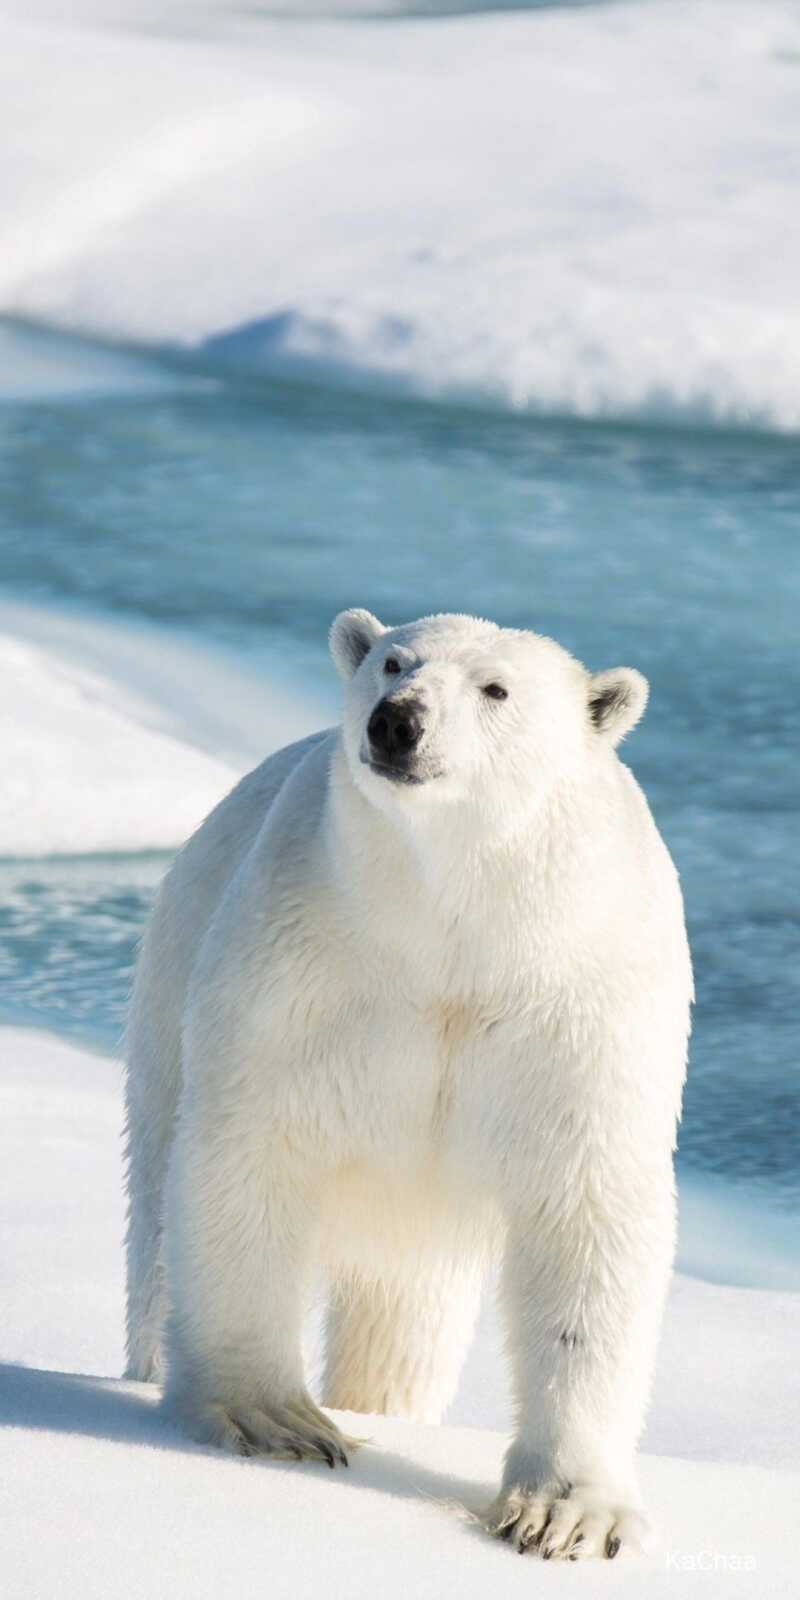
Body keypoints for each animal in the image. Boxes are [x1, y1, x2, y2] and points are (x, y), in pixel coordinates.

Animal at [124, 608, 692, 1561]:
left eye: (496, 688)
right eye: (394, 662)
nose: (398, 722)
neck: (455, 925)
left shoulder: (583, 1004)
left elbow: (587, 1214)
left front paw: (567, 1512)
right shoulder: (305, 962)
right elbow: (251, 1152)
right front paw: (275, 1420)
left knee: (405, 1317)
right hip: (170, 987)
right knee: (155, 1231)